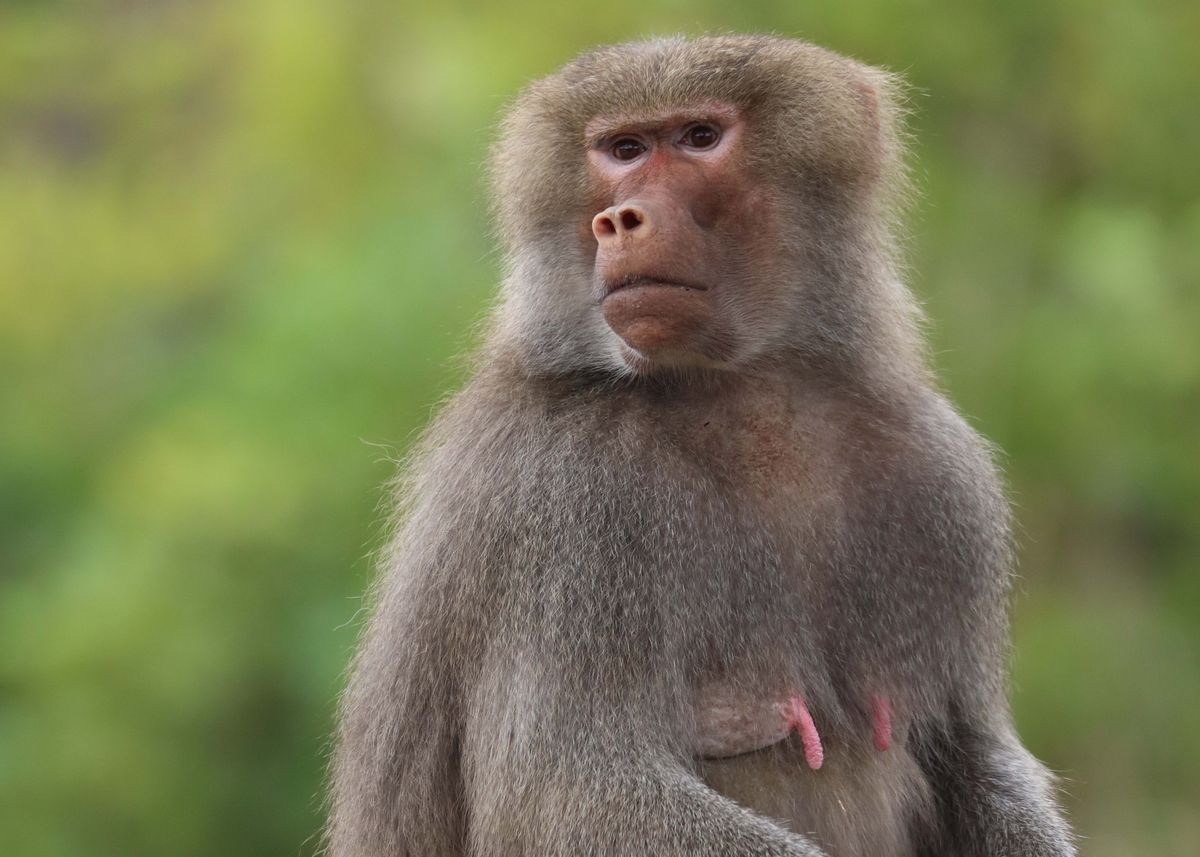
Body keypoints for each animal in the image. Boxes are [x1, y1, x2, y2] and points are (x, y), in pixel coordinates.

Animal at [325, 35, 1077, 857]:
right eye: (623, 148)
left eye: (698, 137)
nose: (620, 220)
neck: (742, 394)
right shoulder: (560, 493)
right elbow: (563, 793)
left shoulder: (944, 477)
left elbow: (974, 752)